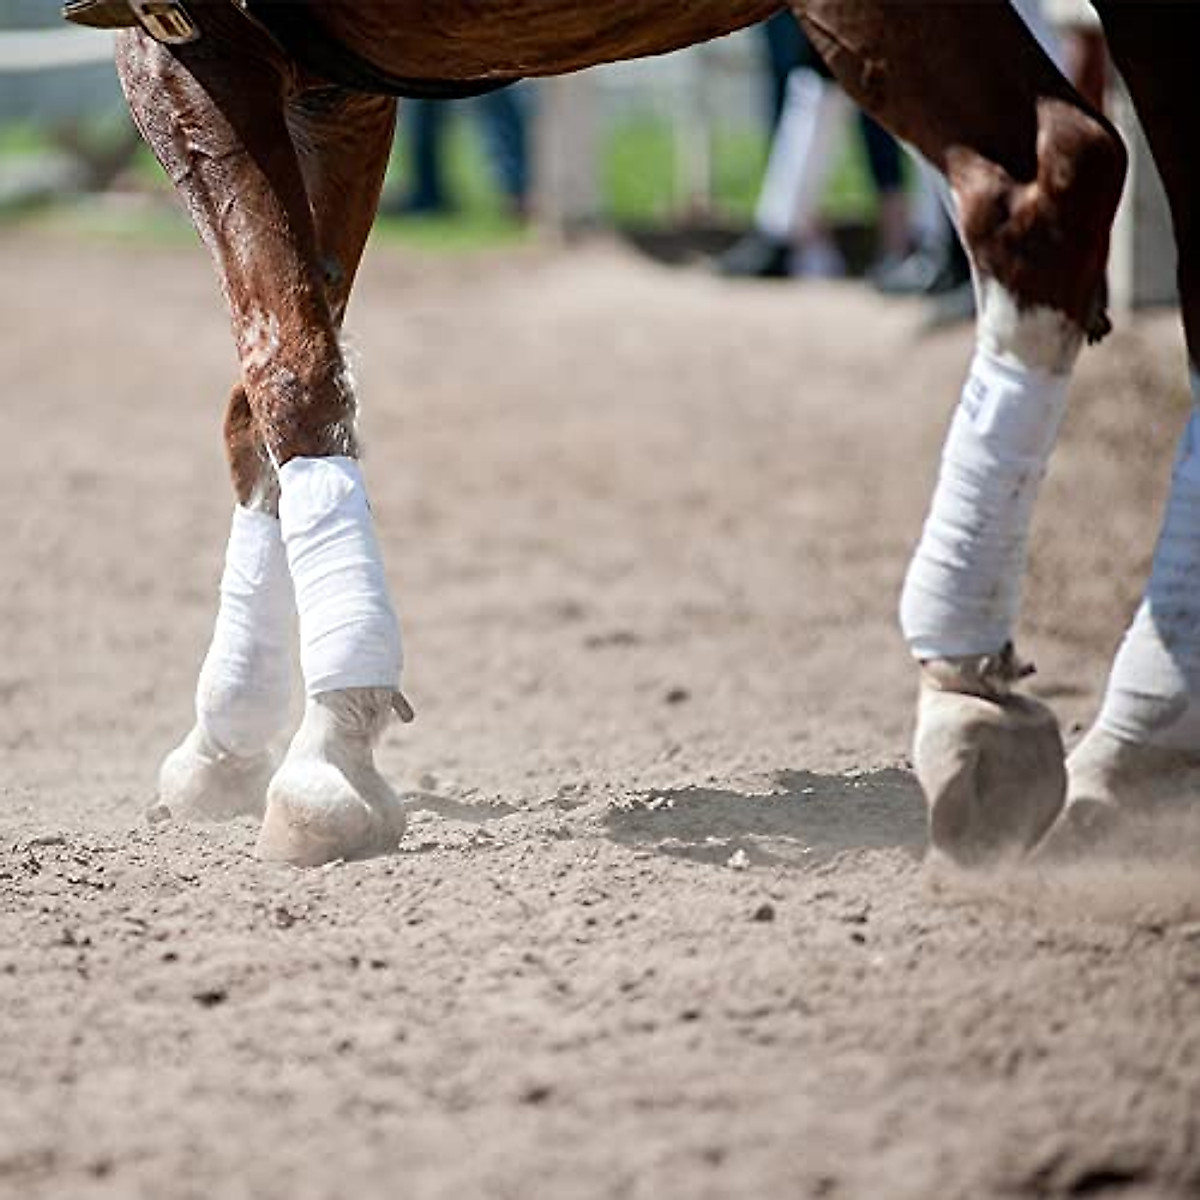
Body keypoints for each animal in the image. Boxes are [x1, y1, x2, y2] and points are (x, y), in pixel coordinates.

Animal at [97, 0, 1200, 867]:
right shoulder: (336, 89)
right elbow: (266, 397)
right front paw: (229, 738)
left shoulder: (194, 48)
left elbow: (290, 374)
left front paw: (327, 754)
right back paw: (1137, 742)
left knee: (1045, 182)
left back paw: (974, 696)